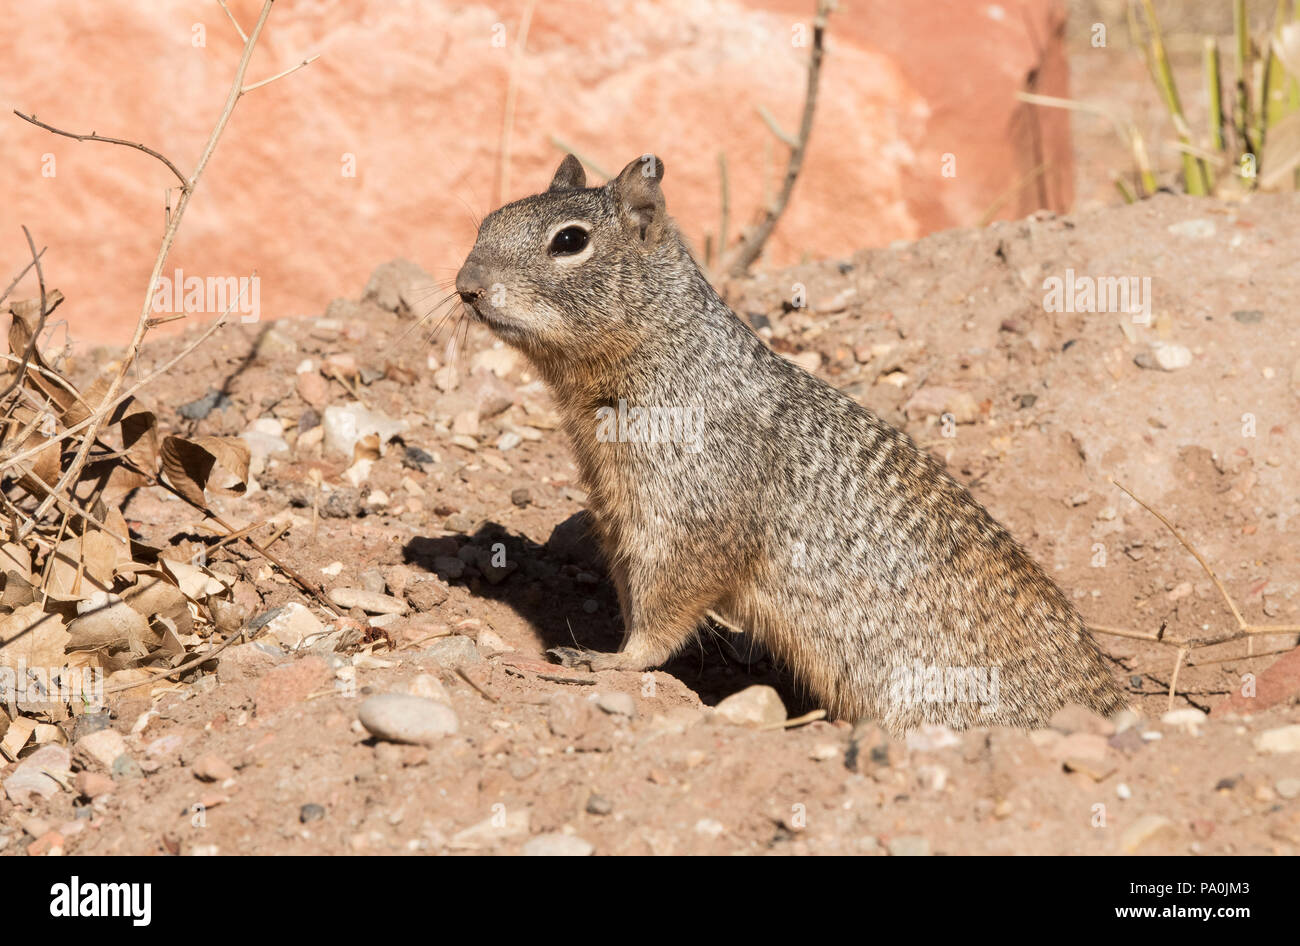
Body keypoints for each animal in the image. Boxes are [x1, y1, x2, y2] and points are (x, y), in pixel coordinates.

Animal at [455, 153, 1127, 734]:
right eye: (487, 222)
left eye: (570, 241)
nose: (465, 285)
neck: (670, 358)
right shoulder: (622, 524)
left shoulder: (684, 525)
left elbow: (664, 615)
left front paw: (608, 661)